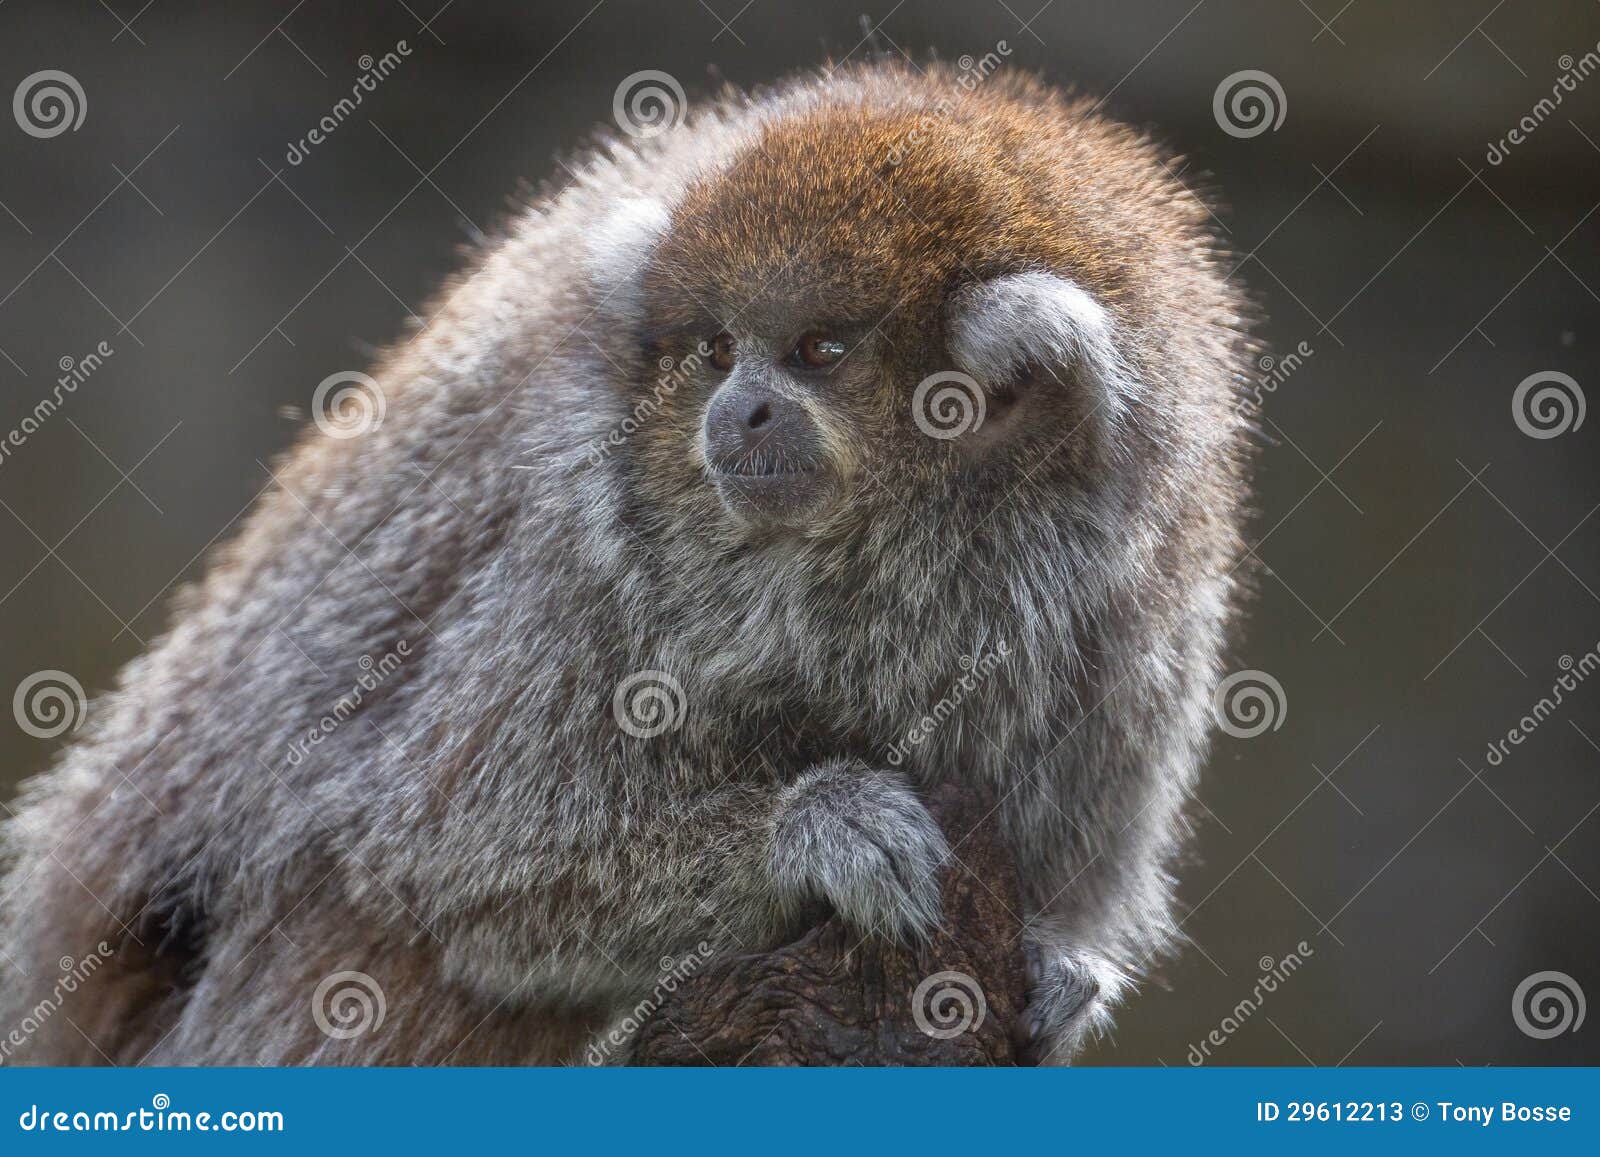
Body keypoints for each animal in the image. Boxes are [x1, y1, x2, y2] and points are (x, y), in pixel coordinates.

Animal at [0, 60, 1254, 1066]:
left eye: (818, 350)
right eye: (717, 350)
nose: (739, 411)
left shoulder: (1132, 590)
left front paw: (1061, 970)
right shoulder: (591, 548)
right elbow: (451, 855)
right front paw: (810, 831)